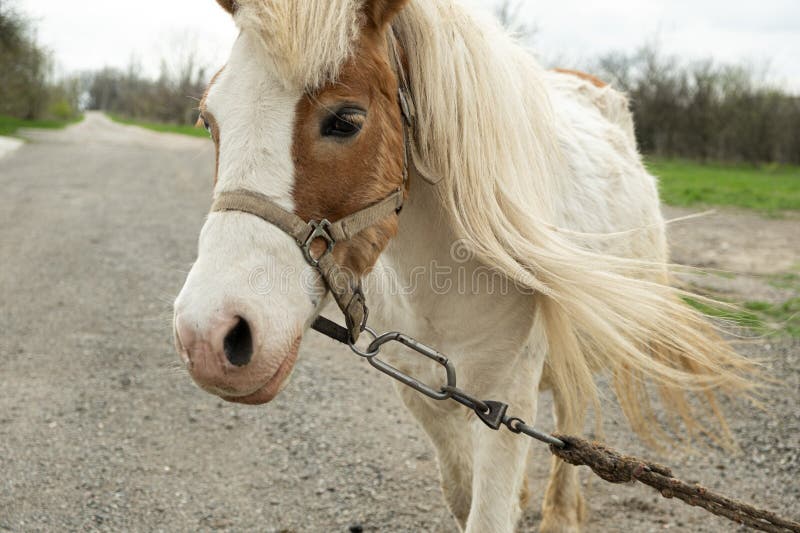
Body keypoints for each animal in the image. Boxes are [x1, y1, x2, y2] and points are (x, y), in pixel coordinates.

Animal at [172, 1, 756, 531]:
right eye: (209, 119)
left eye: (346, 120)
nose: (210, 337)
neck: (441, 281)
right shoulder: (422, 388)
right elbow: (462, 494)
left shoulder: (506, 396)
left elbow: (491, 509)